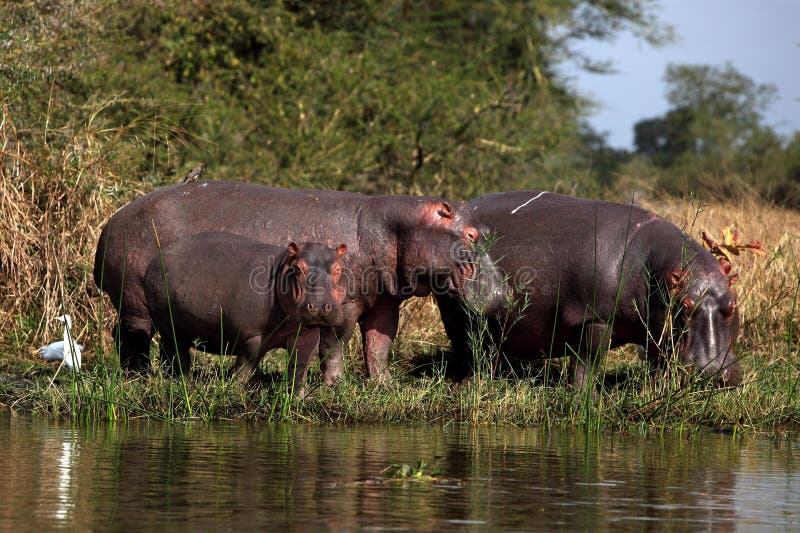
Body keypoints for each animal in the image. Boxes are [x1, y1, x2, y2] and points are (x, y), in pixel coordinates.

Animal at [143, 232, 348, 389]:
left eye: (338, 268)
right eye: (298, 268)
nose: (320, 306)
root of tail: (156, 258)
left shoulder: (306, 335)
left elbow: (299, 368)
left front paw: (297, 398)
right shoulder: (253, 336)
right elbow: (244, 368)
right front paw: (233, 389)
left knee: (168, 352)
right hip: (170, 326)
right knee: (177, 353)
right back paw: (184, 381)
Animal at [436, 190, 742, 387]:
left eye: (732, 306)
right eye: (684, 307)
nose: (713, 372)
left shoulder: (657, 331)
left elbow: (659, 361)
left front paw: (657, 388)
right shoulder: (594, 319)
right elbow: (587, 363)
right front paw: (583, 396)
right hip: (458, 314)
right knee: (470, 348)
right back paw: (468, 385)